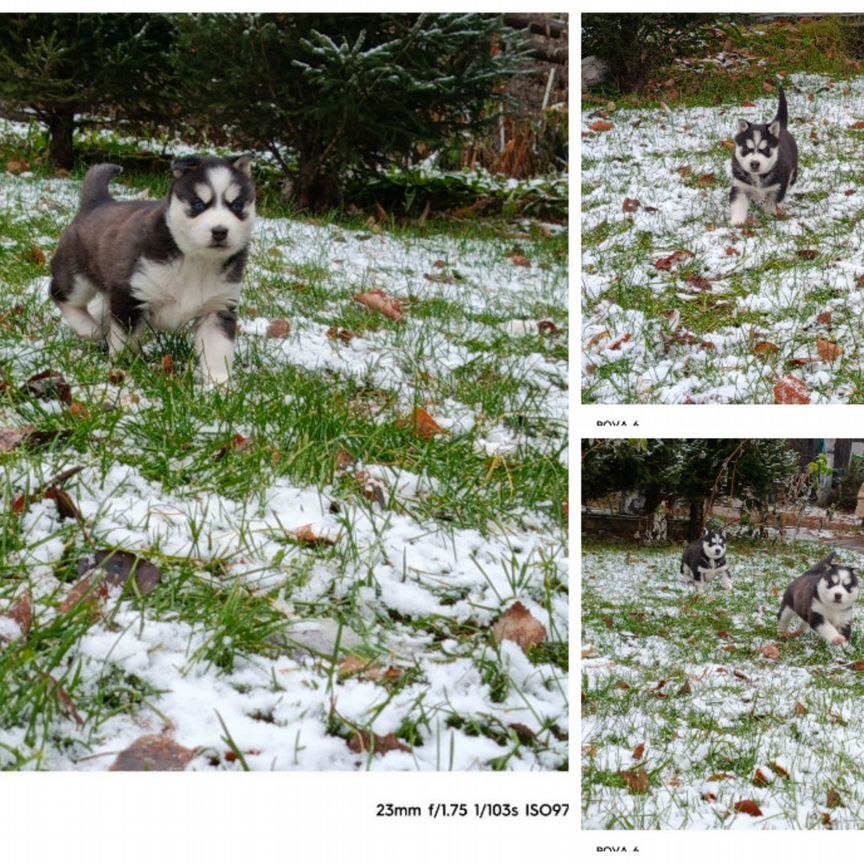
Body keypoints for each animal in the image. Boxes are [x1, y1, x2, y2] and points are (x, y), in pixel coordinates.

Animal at [49, 155, 255, 384]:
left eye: (237, 205)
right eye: (198, 204)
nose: (220, 231)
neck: (197, 260)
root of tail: (98, 203)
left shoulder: (218, 307)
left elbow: (217, 351)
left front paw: (219, 385)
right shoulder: (129, 295)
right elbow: (124, 340)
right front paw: (124, 367)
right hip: (77, 277)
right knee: (60, 295)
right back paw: (89, 328)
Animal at [728, 87, 796, 226]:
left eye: (765, 149)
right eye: (746, 149)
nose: (754, 163)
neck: (758, 176)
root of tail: (782, 127)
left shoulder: (778, 186)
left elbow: (772, 201)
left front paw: (770, 215)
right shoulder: (740, 185)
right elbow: (739, 203)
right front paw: (737, 220)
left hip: (793, 174)